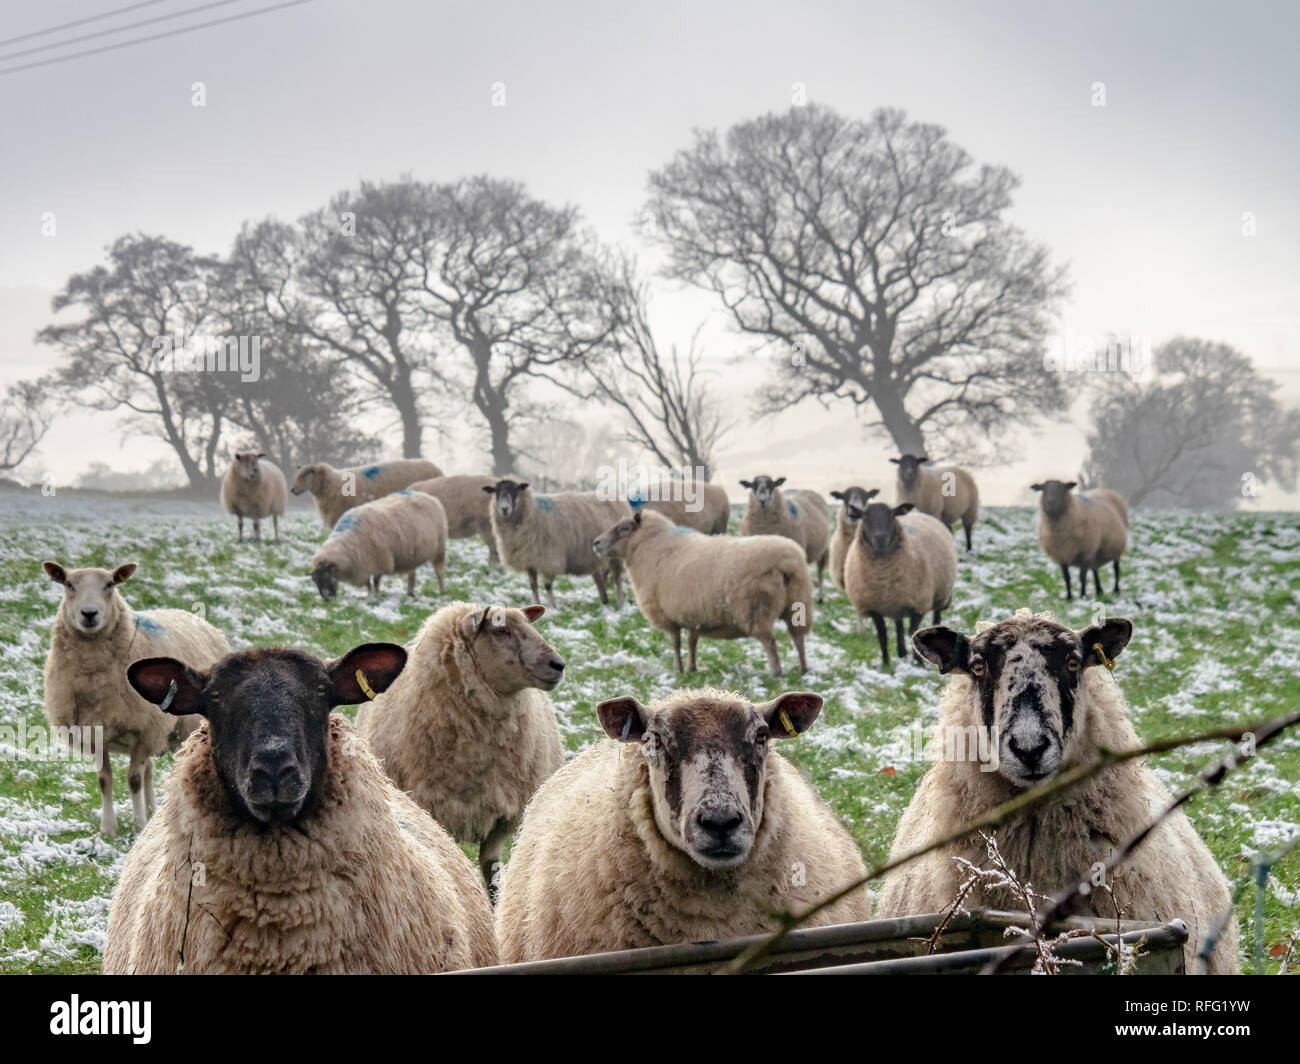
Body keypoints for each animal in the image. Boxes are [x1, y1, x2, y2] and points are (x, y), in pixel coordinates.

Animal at [41, 561, 229, 834]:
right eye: (69, 584)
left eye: (109, 585)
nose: (89, 614)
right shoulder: (96, 732)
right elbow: (104, 780)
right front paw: (108, 827)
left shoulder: (144, 729)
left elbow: (134, 780)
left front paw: (138, 823)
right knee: (149, 767)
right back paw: (151, 810)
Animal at [309, 490, 447, 600]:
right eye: (314, 580)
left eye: (327, 576)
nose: (326, 599)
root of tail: (428, 496)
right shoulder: (364, 564)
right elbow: (367, 583)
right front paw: (370, 596)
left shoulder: (379, 560)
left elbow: (375, 581)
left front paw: (377, 596)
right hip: (412, 554)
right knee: (411, 574)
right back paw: (410, 593)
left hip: (439, 547)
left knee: (439, 571)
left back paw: (442, 591)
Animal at [484, 477, 630, 608]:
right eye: (496, 492)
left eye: (515, 490)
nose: (504, 509)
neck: (533, 512)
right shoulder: (530, 558)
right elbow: (533, 585)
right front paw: (536, 603)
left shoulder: (549, 558)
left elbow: (547, 585)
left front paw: (553, 606)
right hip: (595, 556)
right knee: (599, 577)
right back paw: (604, 601)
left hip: (615, 555)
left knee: (617, 577)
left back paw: (621, 602)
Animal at [594, 509, 813, 676]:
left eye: (624, 528)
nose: (596, 543)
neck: (649, 546)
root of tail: (786, 562)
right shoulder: (693, 615)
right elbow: (692, 642)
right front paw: (691, 668)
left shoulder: (668, 616)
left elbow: (676, 643)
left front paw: (678, 669)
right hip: (797, 603)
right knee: (799, 638)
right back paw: (803, 669)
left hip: (756, 609)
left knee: (770, 642)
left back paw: (776, 672)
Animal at [843, 501, 958, 668]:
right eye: (864, 516)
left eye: (892, 515)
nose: (880, 537)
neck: (883, 578)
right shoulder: (874, 608)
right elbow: (883, 635)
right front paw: (885, 663)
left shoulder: (919, 604)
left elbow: (913, 632)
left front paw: (919, 663)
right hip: (897, 601)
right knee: (899, 624)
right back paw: (901, 653)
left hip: (939, 593)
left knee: (936, 616)